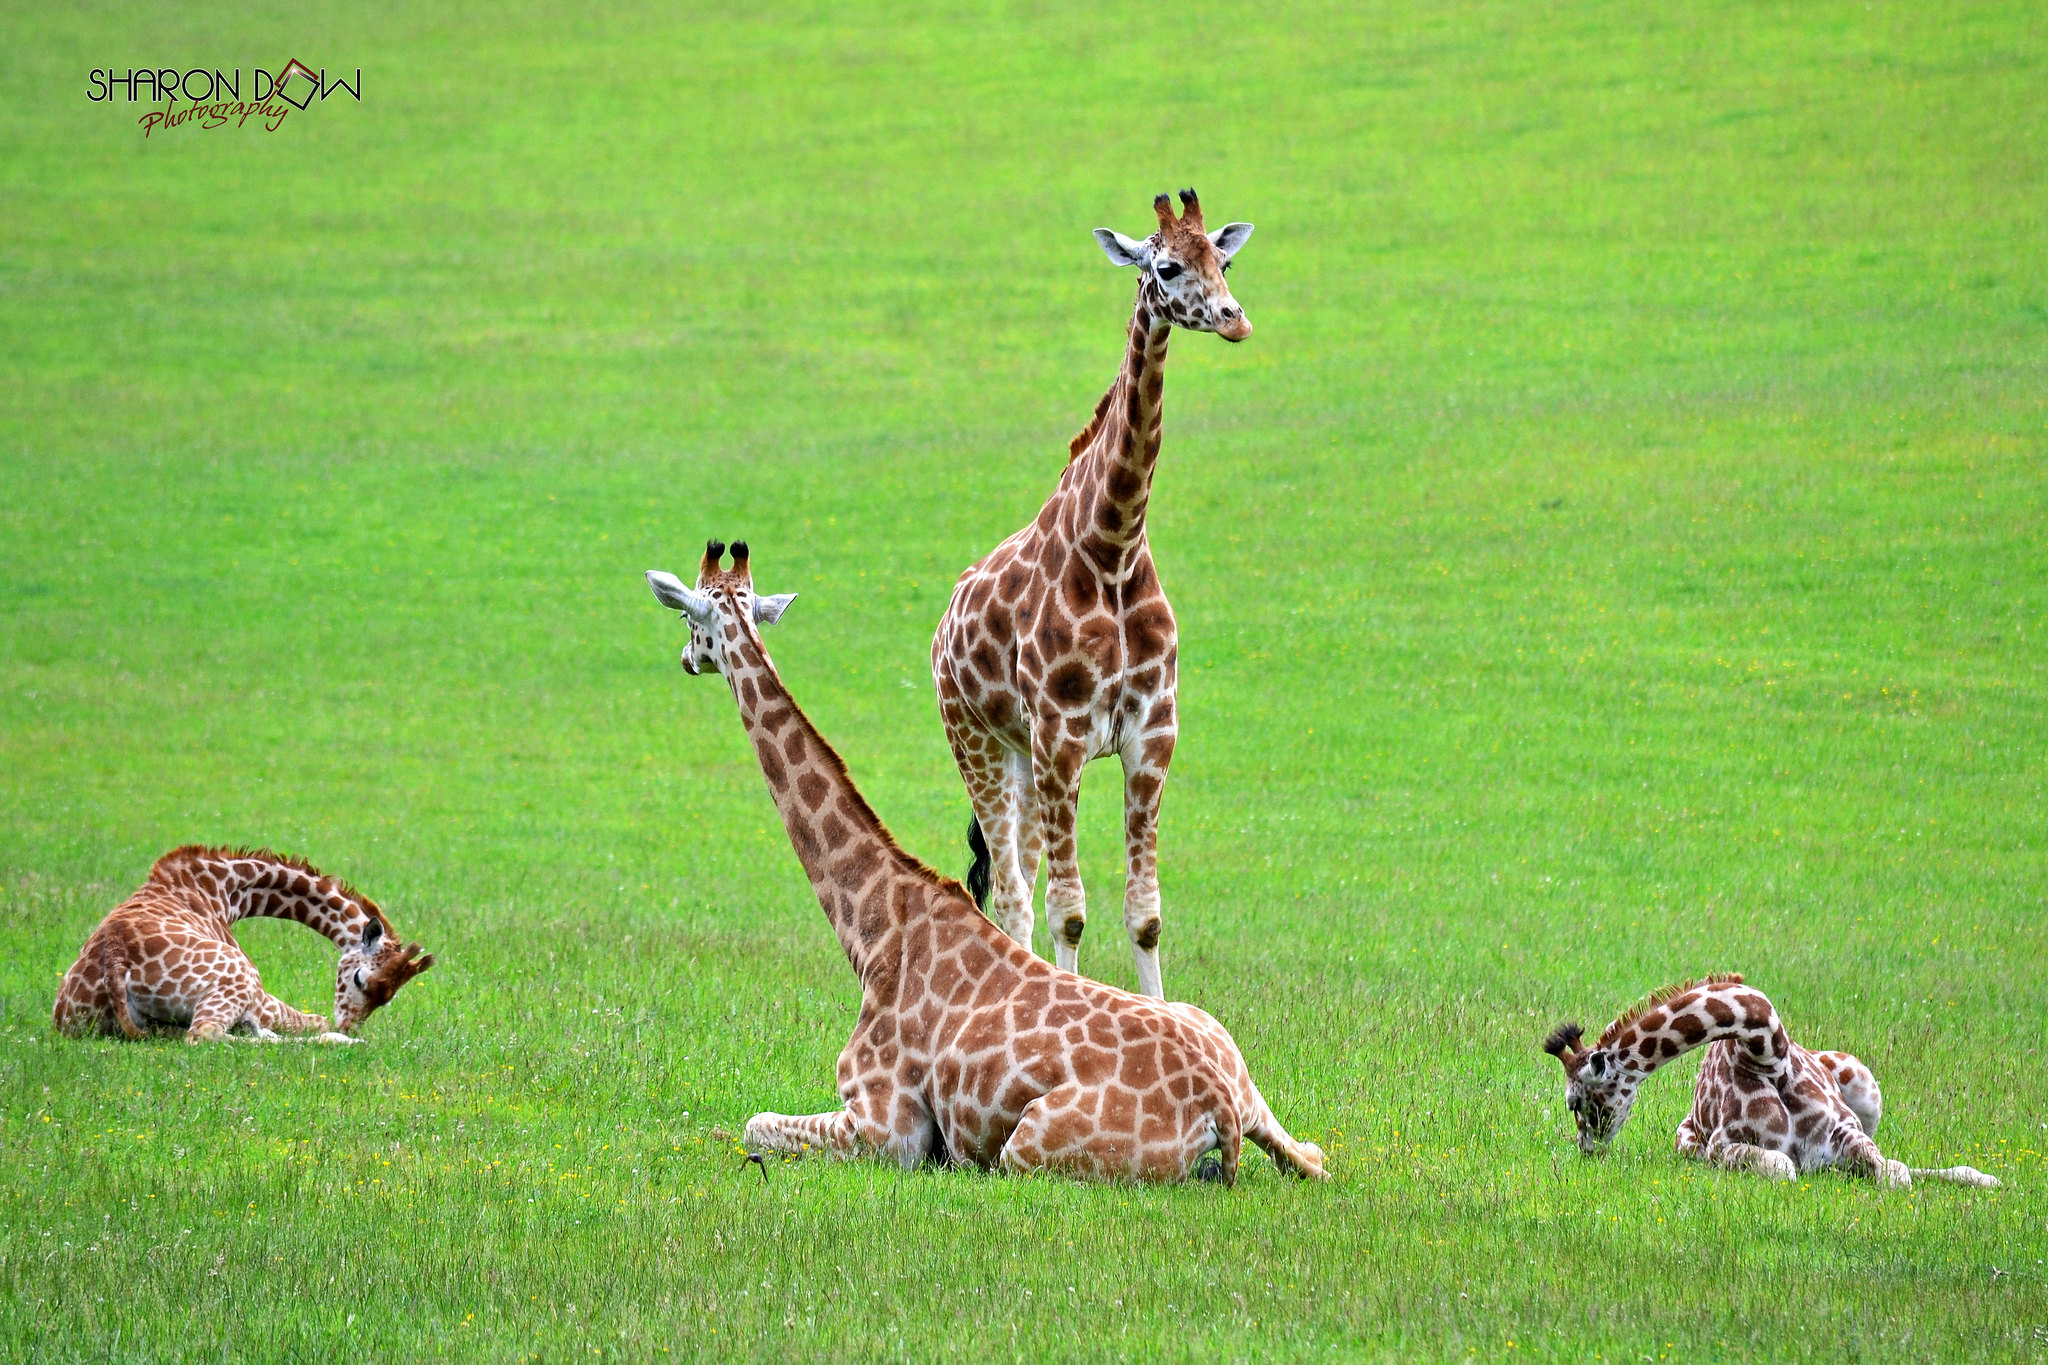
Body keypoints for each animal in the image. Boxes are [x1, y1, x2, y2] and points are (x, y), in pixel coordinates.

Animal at [53, 845, 434, 1043]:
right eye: (359, 979)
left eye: (388, 998)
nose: (350, 1025)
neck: (226, 888)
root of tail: (114, 961)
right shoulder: (261, 996)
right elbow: (317, 1020)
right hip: (243, 979)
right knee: (205, 1034)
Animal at [647, 541, 1325, 1183]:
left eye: (686, 616)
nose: (685, 658)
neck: (873, 926)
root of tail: (1221, 1108)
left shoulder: (887, 1129)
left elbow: (755, 1124)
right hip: (1236, 1065)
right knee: (1312, 1154)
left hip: (1022, 1148)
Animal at [932, 188, 1255, 999]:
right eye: (1166, 265)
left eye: (1223, 258)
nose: (1235, 319)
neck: (1112, 547)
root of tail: (943, 627)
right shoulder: (1063, 735)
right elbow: (1069, 913)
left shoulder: (1152, 733)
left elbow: (1145, 913)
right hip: (977, 740)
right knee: (1013, 894)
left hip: (1019, 761)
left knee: (1014, 884)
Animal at [1542, 974, 1999, 1189]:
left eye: (1575, 1102)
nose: (1586, 1150)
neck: (1768, 1055)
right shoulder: (1720, 1147)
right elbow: (1784, 1166)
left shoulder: (1847, 1132)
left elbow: (1894, 1171)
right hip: (1685, 1140)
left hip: (1867, 1085)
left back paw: (1983, 1177)